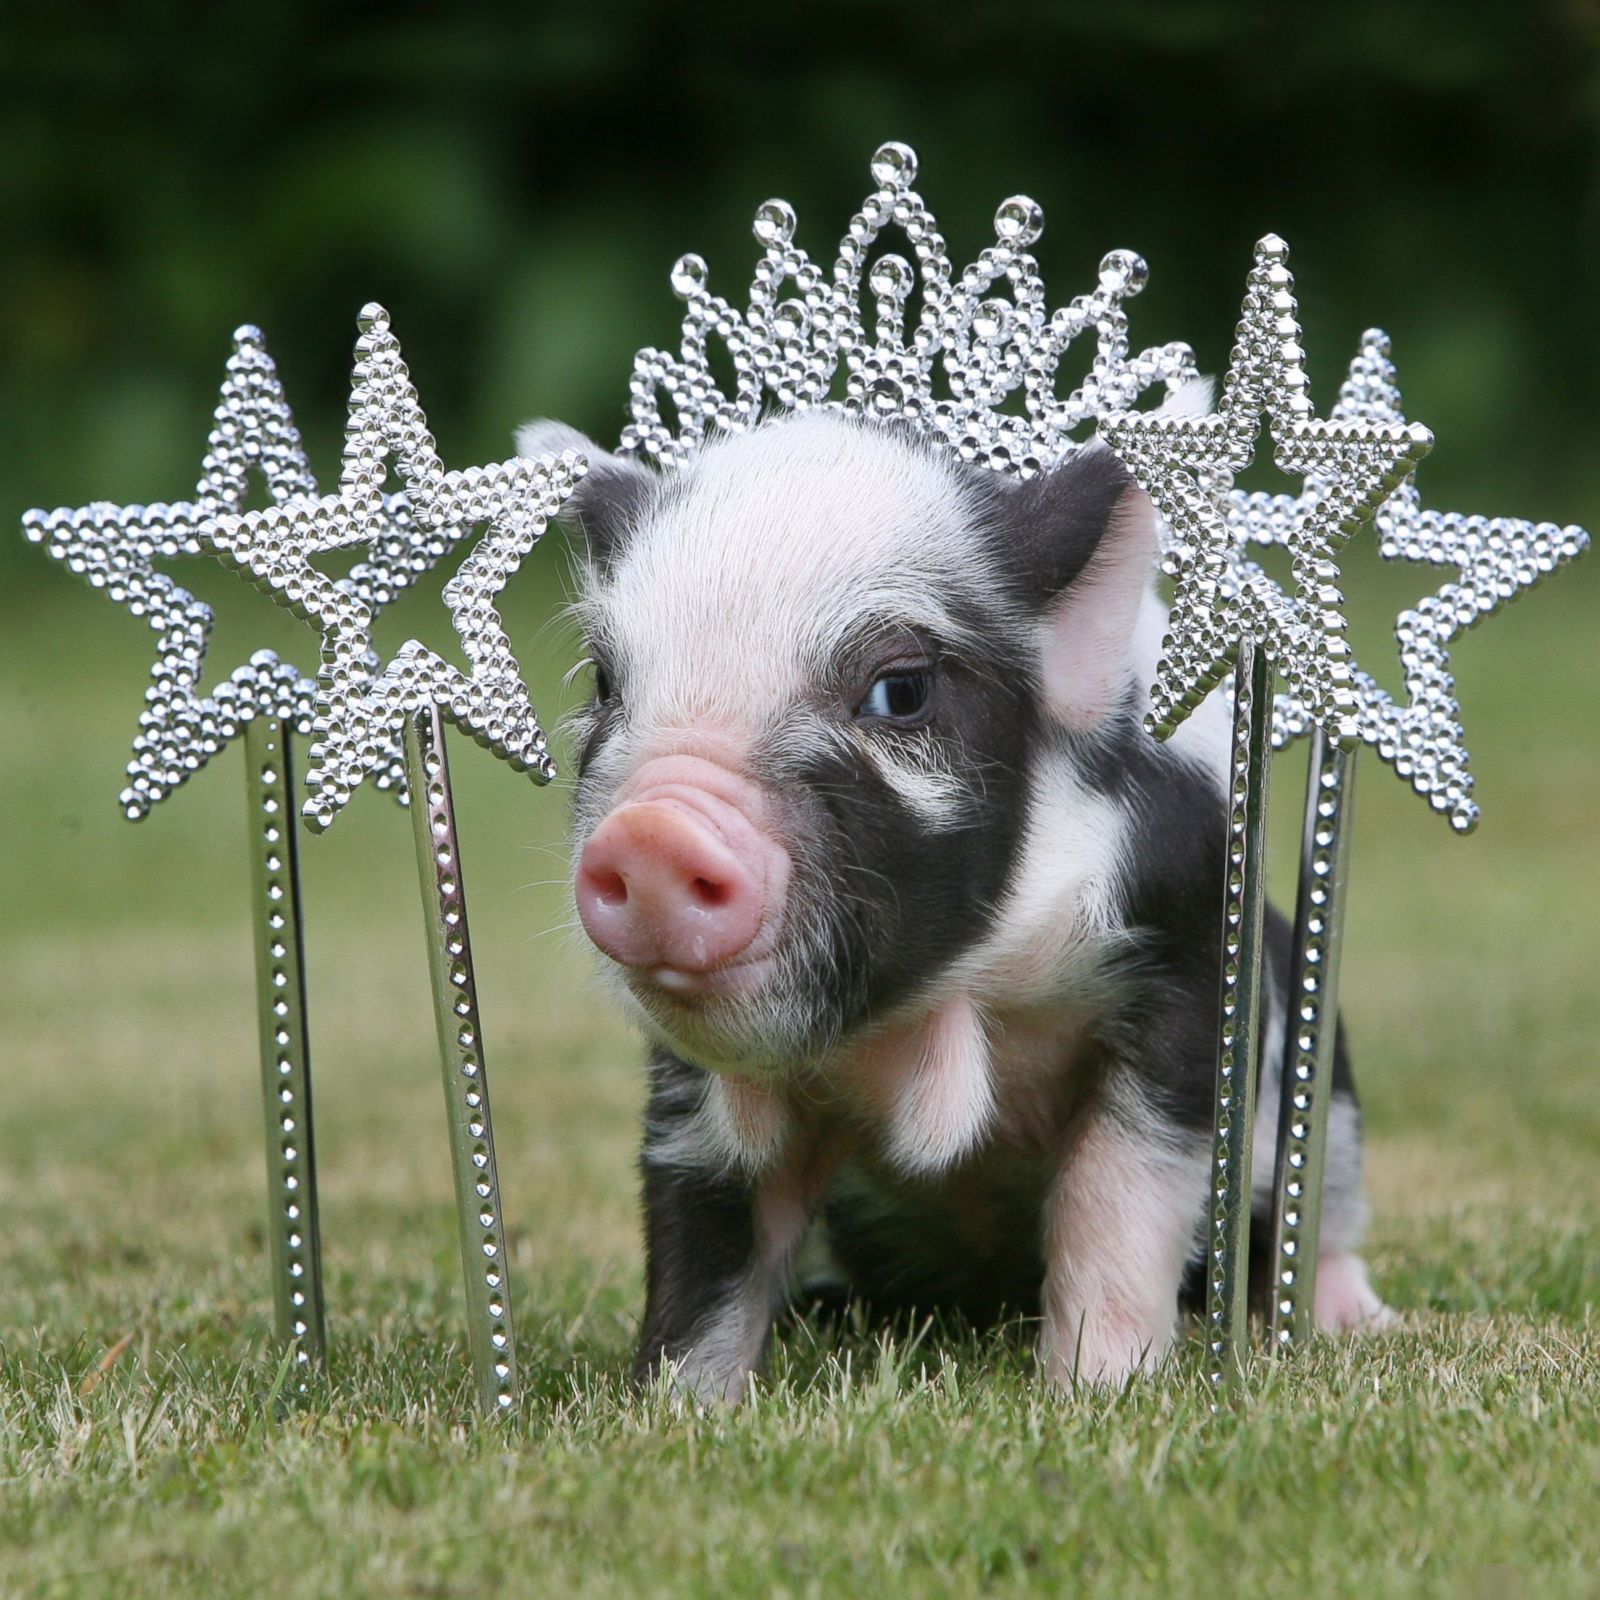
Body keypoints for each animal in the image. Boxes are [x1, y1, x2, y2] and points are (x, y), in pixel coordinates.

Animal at [517, 407, 1392, 1401]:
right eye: (605, 683)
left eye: (900, 690)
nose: (652, 833)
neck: (931, 1012)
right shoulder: (693, 1084)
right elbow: (704, 1233)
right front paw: (680, 1408)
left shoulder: (1186, 962)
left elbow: (1118, 1193)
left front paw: (1097, 1395)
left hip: (1333, 1098)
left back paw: (1355, 1324)